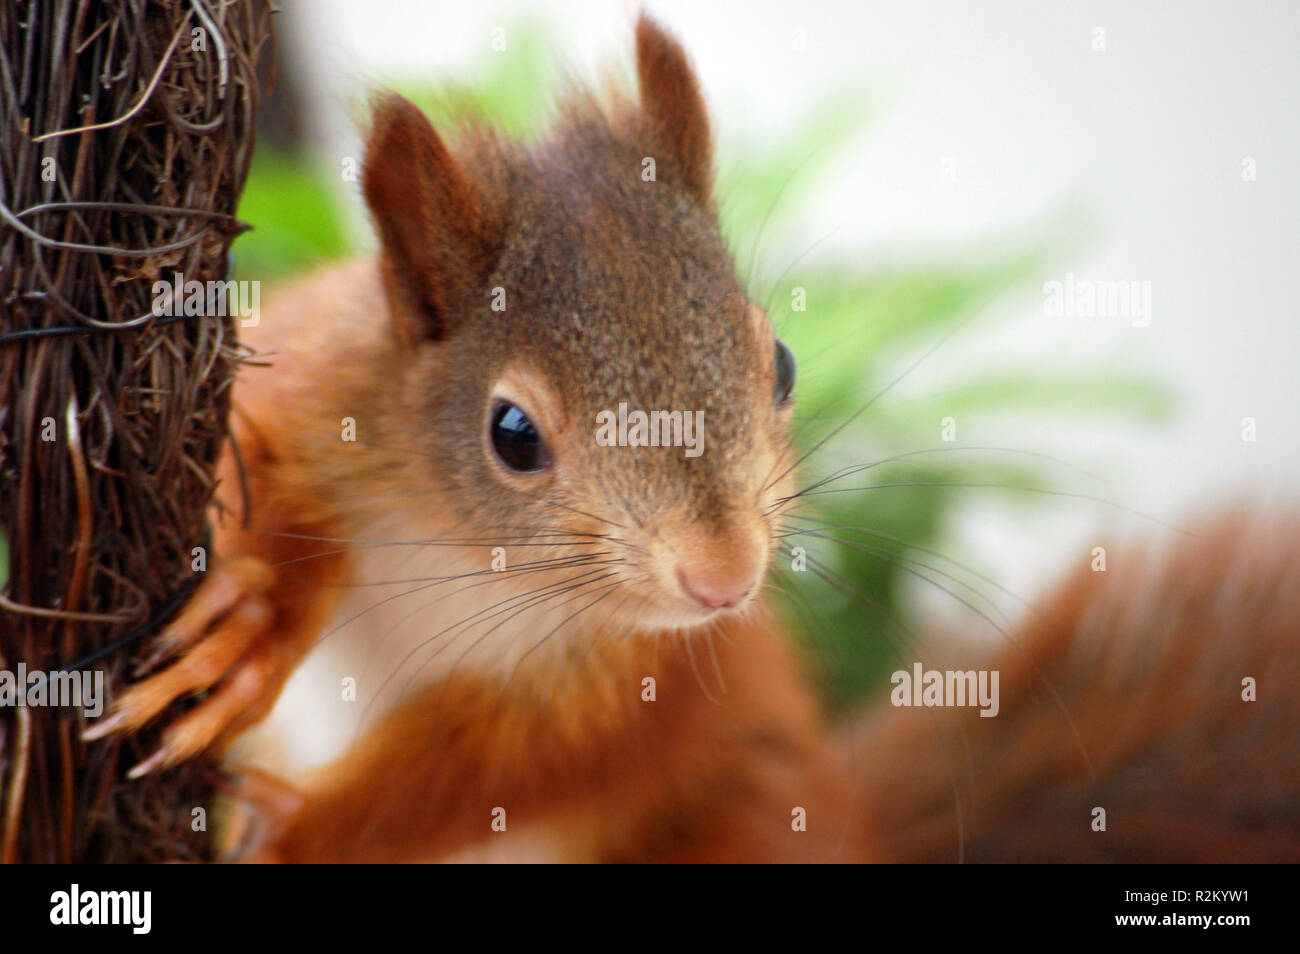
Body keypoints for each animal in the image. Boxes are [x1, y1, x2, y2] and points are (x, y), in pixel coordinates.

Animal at [84, 14, 1300, 863]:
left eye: (783, 364)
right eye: (512, 433)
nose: (724, 581)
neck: (464, 549)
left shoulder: (625, 685)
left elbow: (497, 766)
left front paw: (300, 826)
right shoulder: (303, 378)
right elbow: (257, 470)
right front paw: (251, 623)